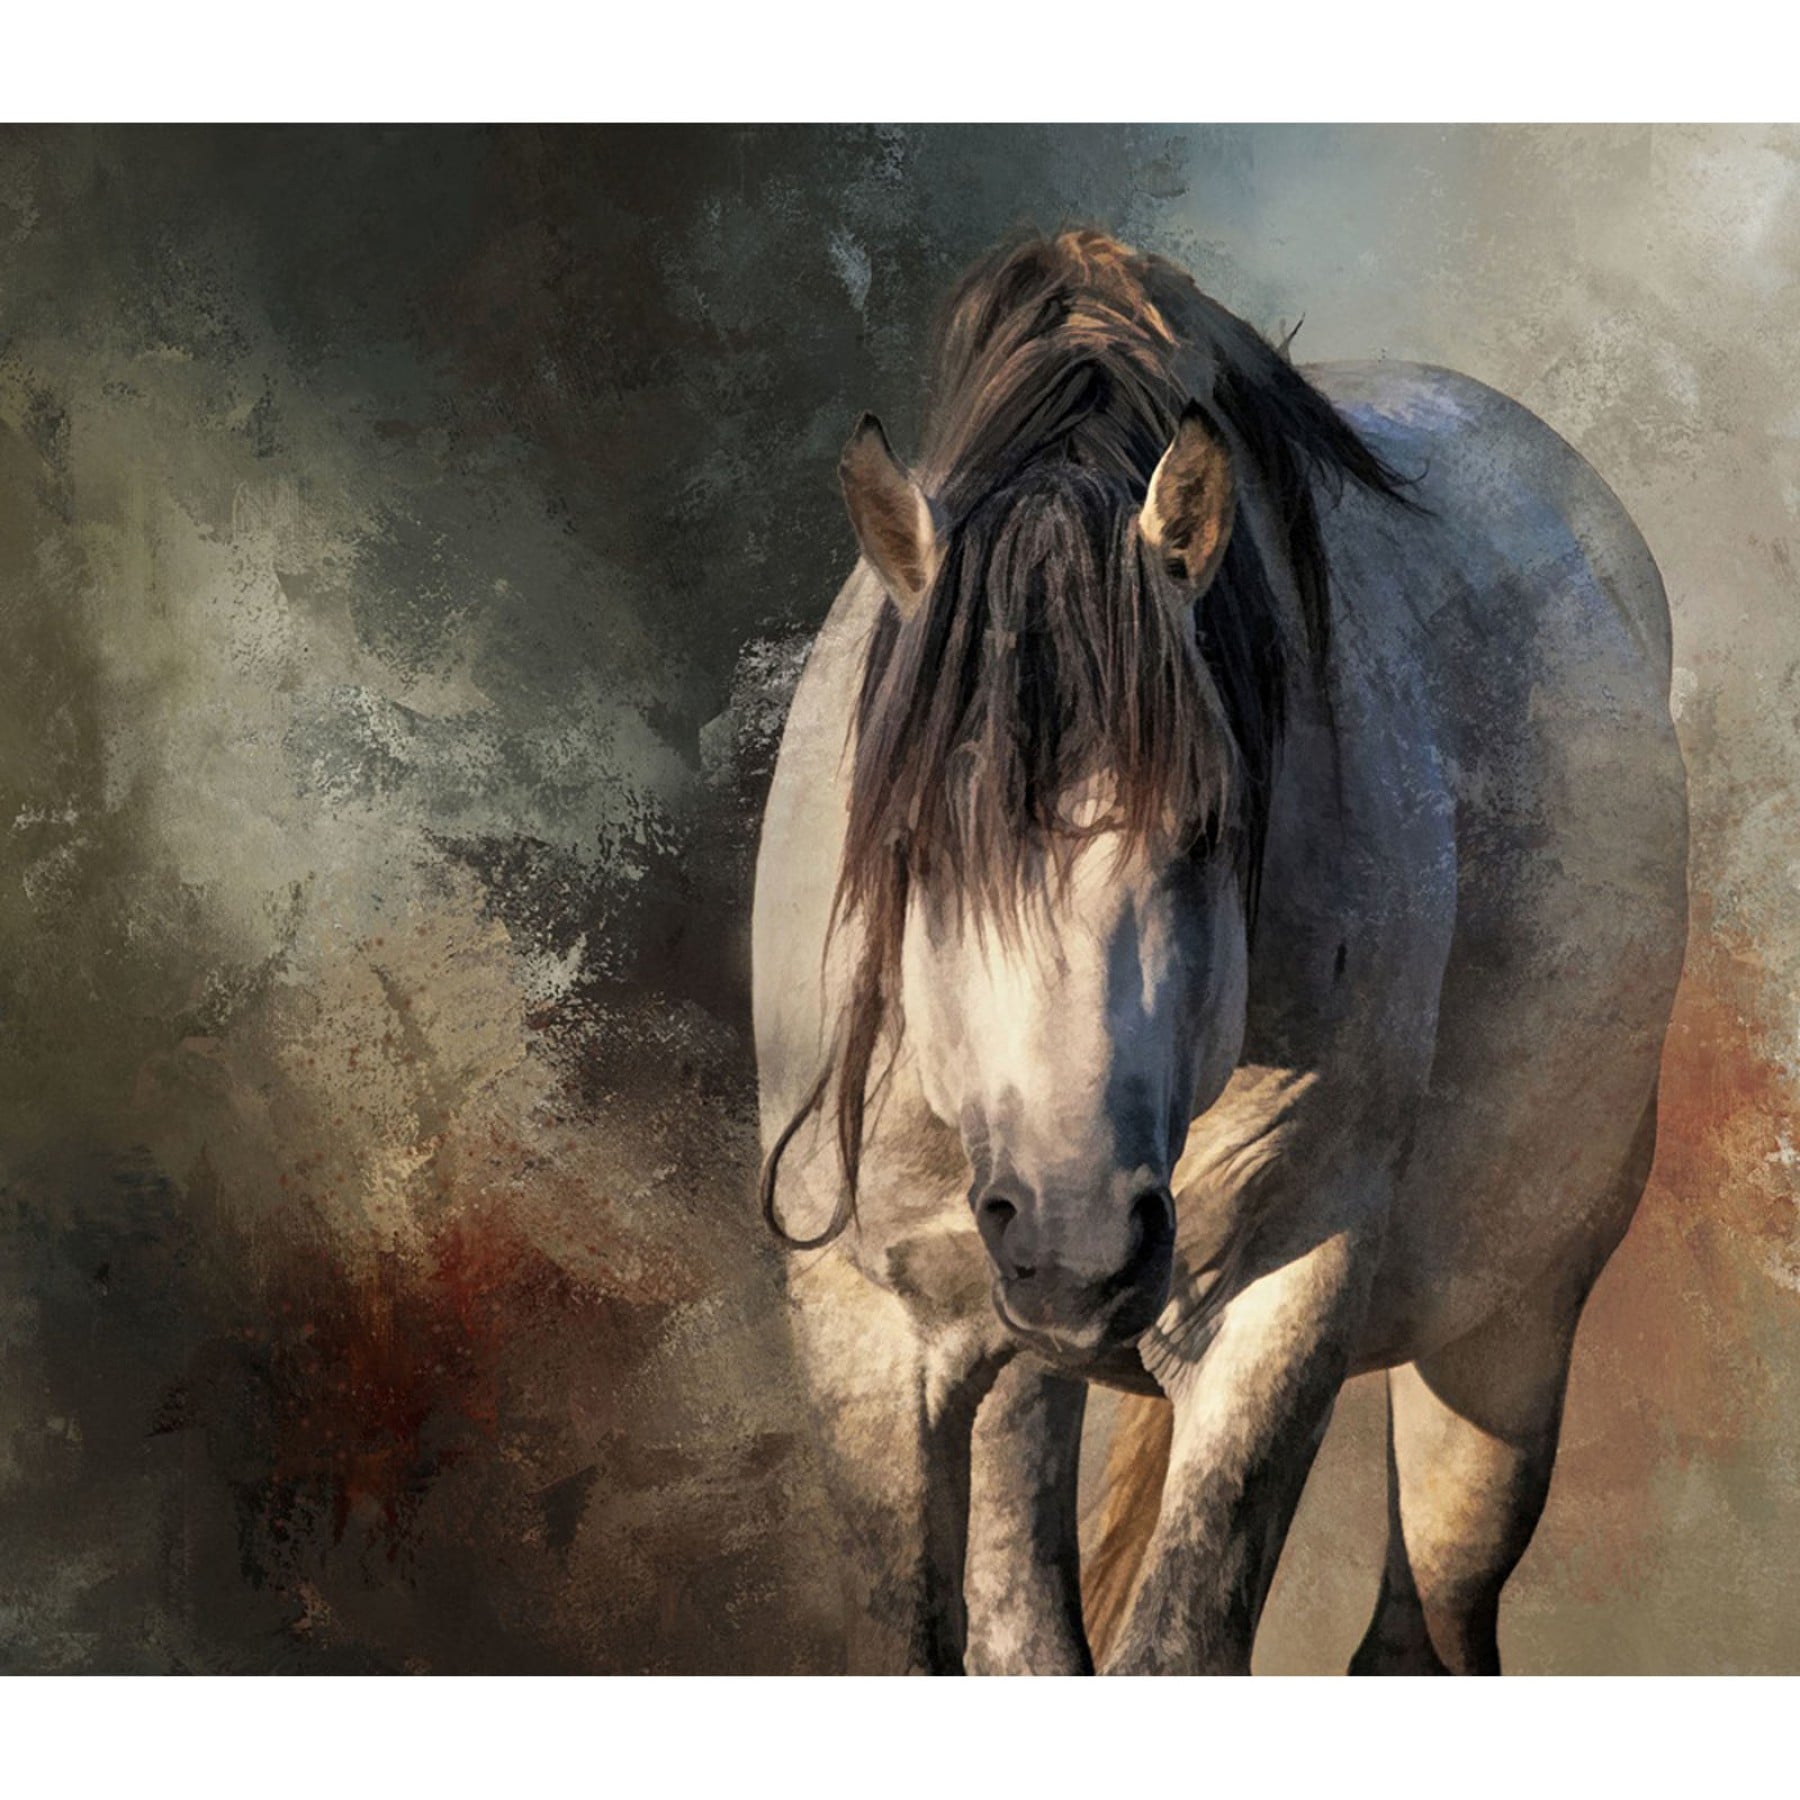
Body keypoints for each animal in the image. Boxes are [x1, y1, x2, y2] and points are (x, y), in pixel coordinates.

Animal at [751, 230, 1688, 1674]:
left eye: (1210, 824)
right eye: (912, 839)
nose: (1079, 1243)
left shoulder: (1278, 1310)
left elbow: (1181, 1639)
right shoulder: (863, 1332)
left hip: (1505, 1338)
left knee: (1427, 1624)